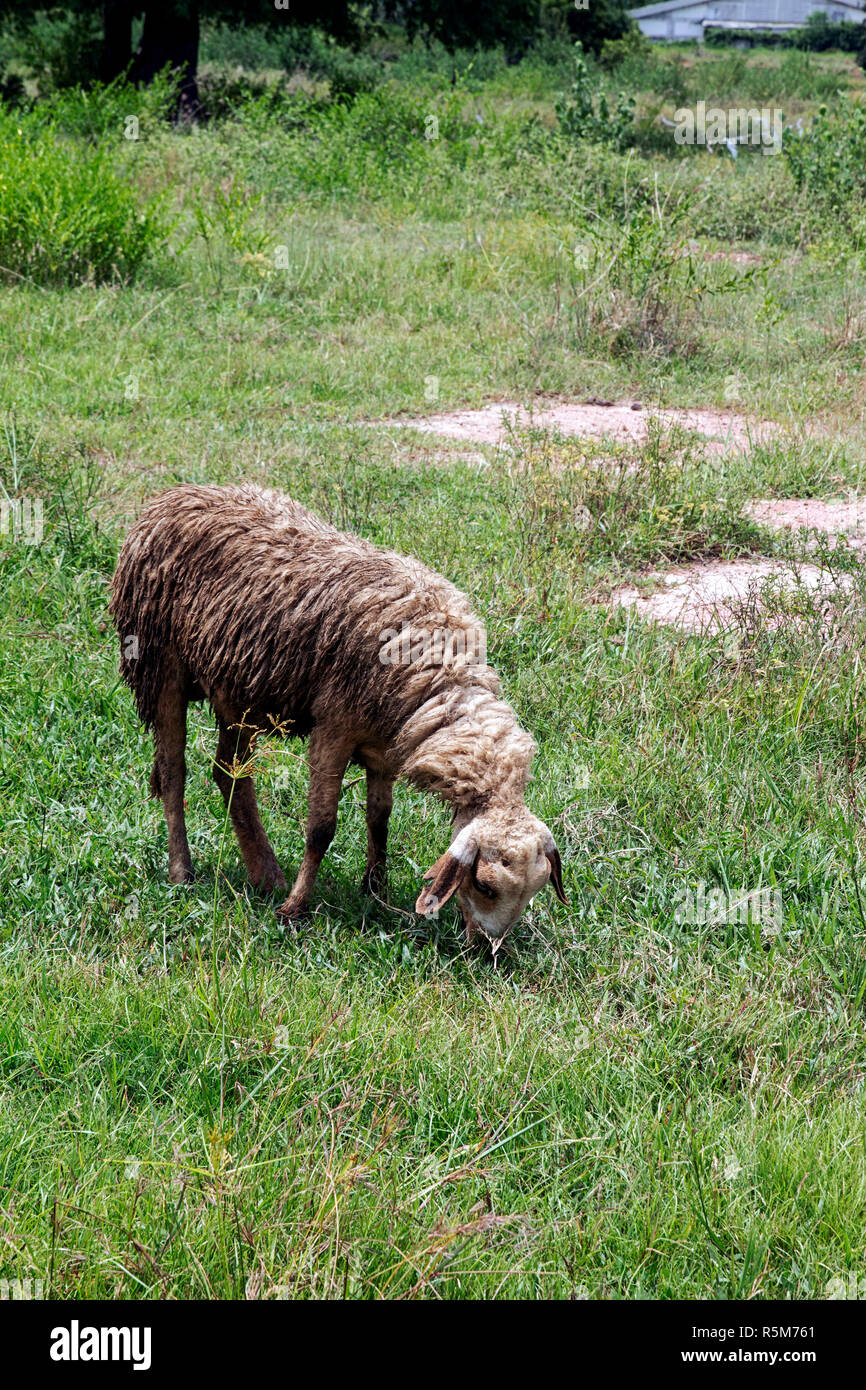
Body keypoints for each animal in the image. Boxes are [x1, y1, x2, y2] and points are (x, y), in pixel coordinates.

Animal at [110, 483, 567, 948]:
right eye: (486, 885)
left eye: (532, 892)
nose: (487, 950)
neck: (440, 688)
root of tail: (172, 496)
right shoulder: (333, 729)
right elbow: (321, 828)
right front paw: (294, 909)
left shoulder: (385, 746)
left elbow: (380, 819)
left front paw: (375, 889)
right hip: (158, 662)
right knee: (173, 771)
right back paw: (183, 871)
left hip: (237, 688)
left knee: (229, 774)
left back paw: (266, 874)